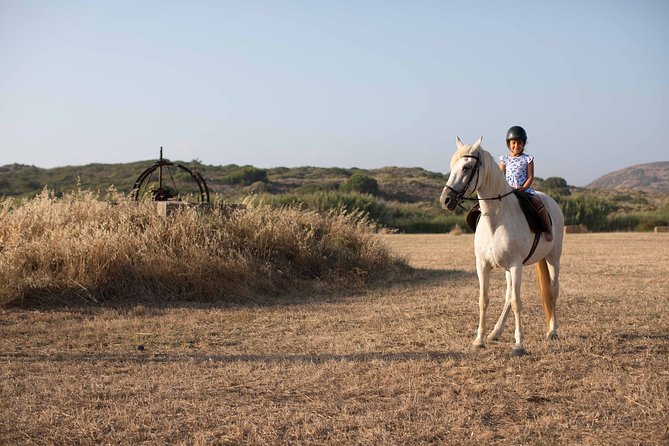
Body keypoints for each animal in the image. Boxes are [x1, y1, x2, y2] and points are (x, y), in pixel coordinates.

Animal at [440, 136, 564, 356]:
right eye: (452, 166)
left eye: (466, 167)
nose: (446, 200)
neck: (496, 219)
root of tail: (552, 202)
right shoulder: (482, 266)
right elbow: (484, 300)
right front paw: (479, 340)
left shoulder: (516, 265)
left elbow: (517, 302)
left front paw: (519, 344)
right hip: (508, 268)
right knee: (508, 295)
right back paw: (495, 332)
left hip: (552, 259)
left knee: (553, 290)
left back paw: (552, 330)